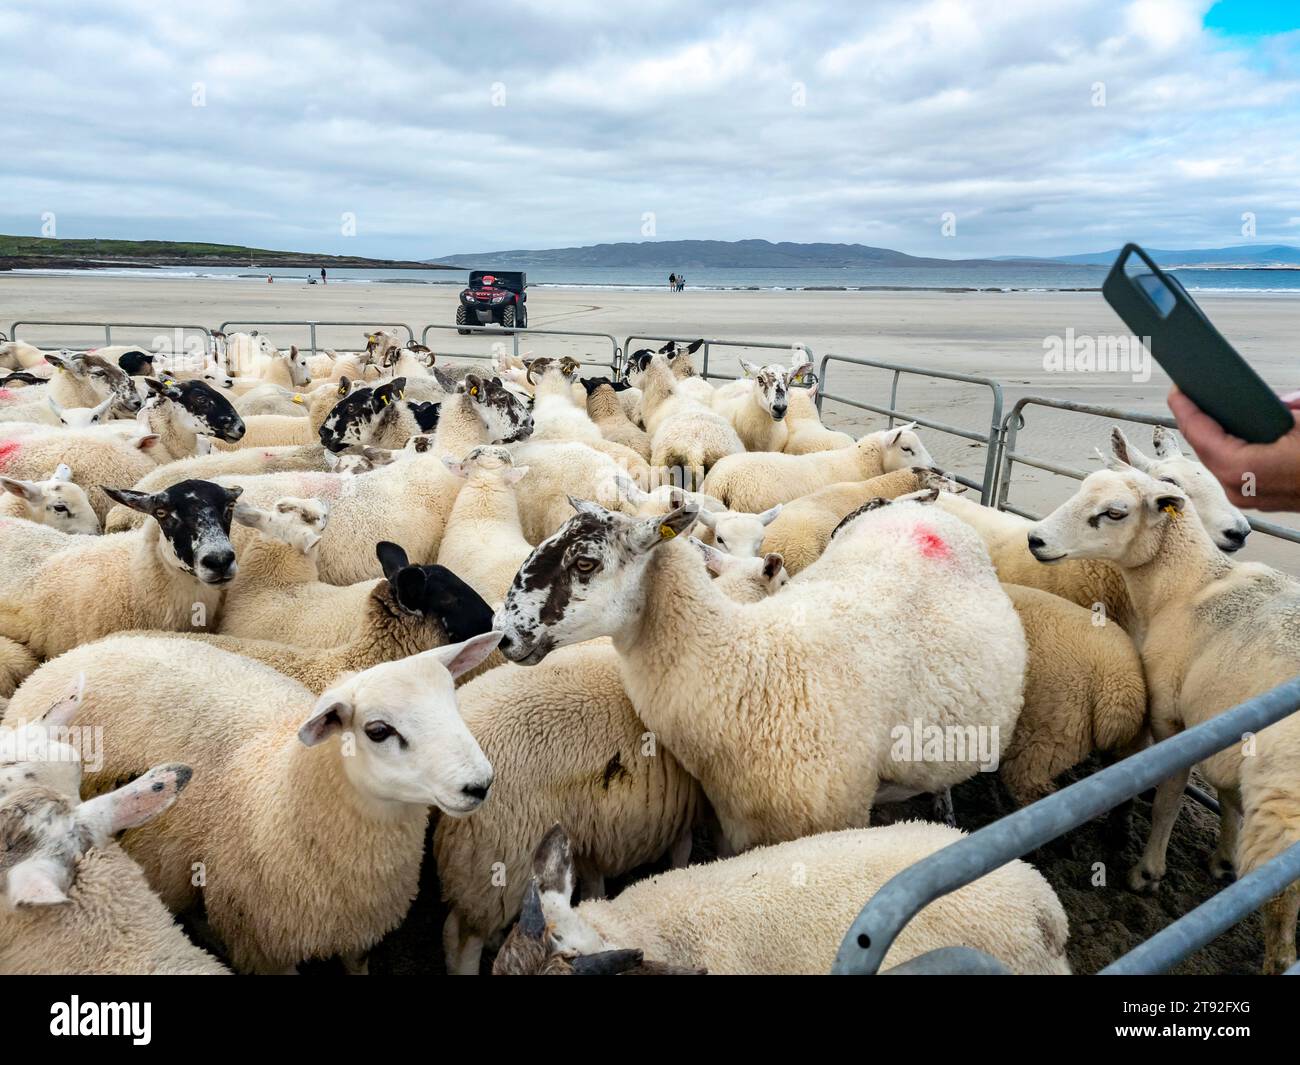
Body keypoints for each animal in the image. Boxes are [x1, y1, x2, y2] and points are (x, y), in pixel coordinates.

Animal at [2, 629, 503, 973]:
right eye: (378, 730)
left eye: (453, 701)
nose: (479, 785)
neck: (280, 791)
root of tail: (72, 656)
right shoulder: (263, 945)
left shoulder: (358, 930)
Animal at [1029, 464, 1300, 974]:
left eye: (1115, 513)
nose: (1035, 539)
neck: (1186, 585)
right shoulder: (1226, 725)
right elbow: (1229, 799)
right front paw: (1223, 861)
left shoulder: (1173, 722)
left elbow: (1168, 800)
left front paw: (1147, 873)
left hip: (1284, 800)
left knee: (1282, 900)